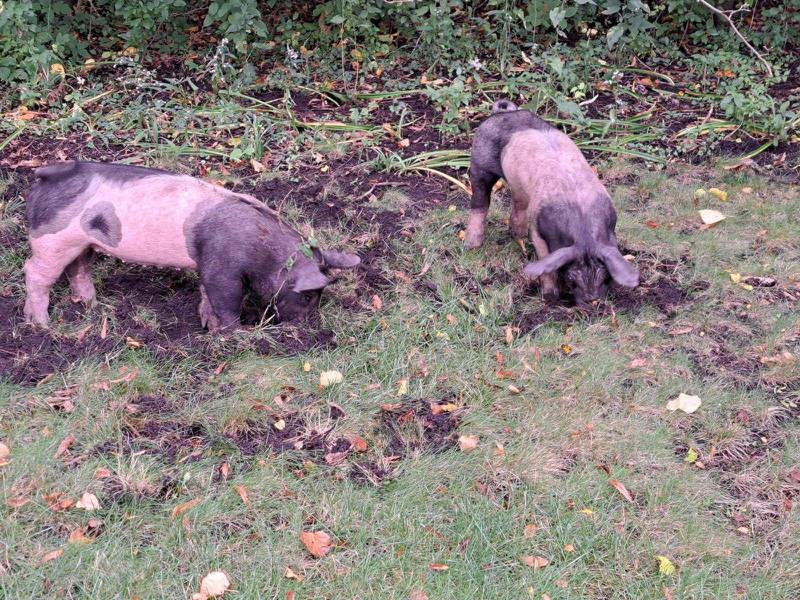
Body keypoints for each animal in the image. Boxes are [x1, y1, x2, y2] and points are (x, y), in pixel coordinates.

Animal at [23, 161, 360, 331]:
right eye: (309, 296)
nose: (307, 327)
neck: (266, 253)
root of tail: (46, 174)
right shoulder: (222, 267)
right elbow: (225, 299)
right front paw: (234, 334)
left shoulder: (208, 264)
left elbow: (207, 295)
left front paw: (207, 325)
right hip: (52, 240)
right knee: (35, 272)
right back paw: (41, 324)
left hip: (81, 243)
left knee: (77, 269)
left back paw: (93, 306)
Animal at [465, 100, 639, 306]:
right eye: (572, 278)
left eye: (603, 276)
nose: (590, 300)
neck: (583, 227)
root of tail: (502, 112)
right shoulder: (538, 230)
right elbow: (545, 259)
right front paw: (550, 297)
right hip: (479, 163)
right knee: (479, 203)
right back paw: (471, 245)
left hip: (519, 189)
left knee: (518, 204)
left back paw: (518, 236)